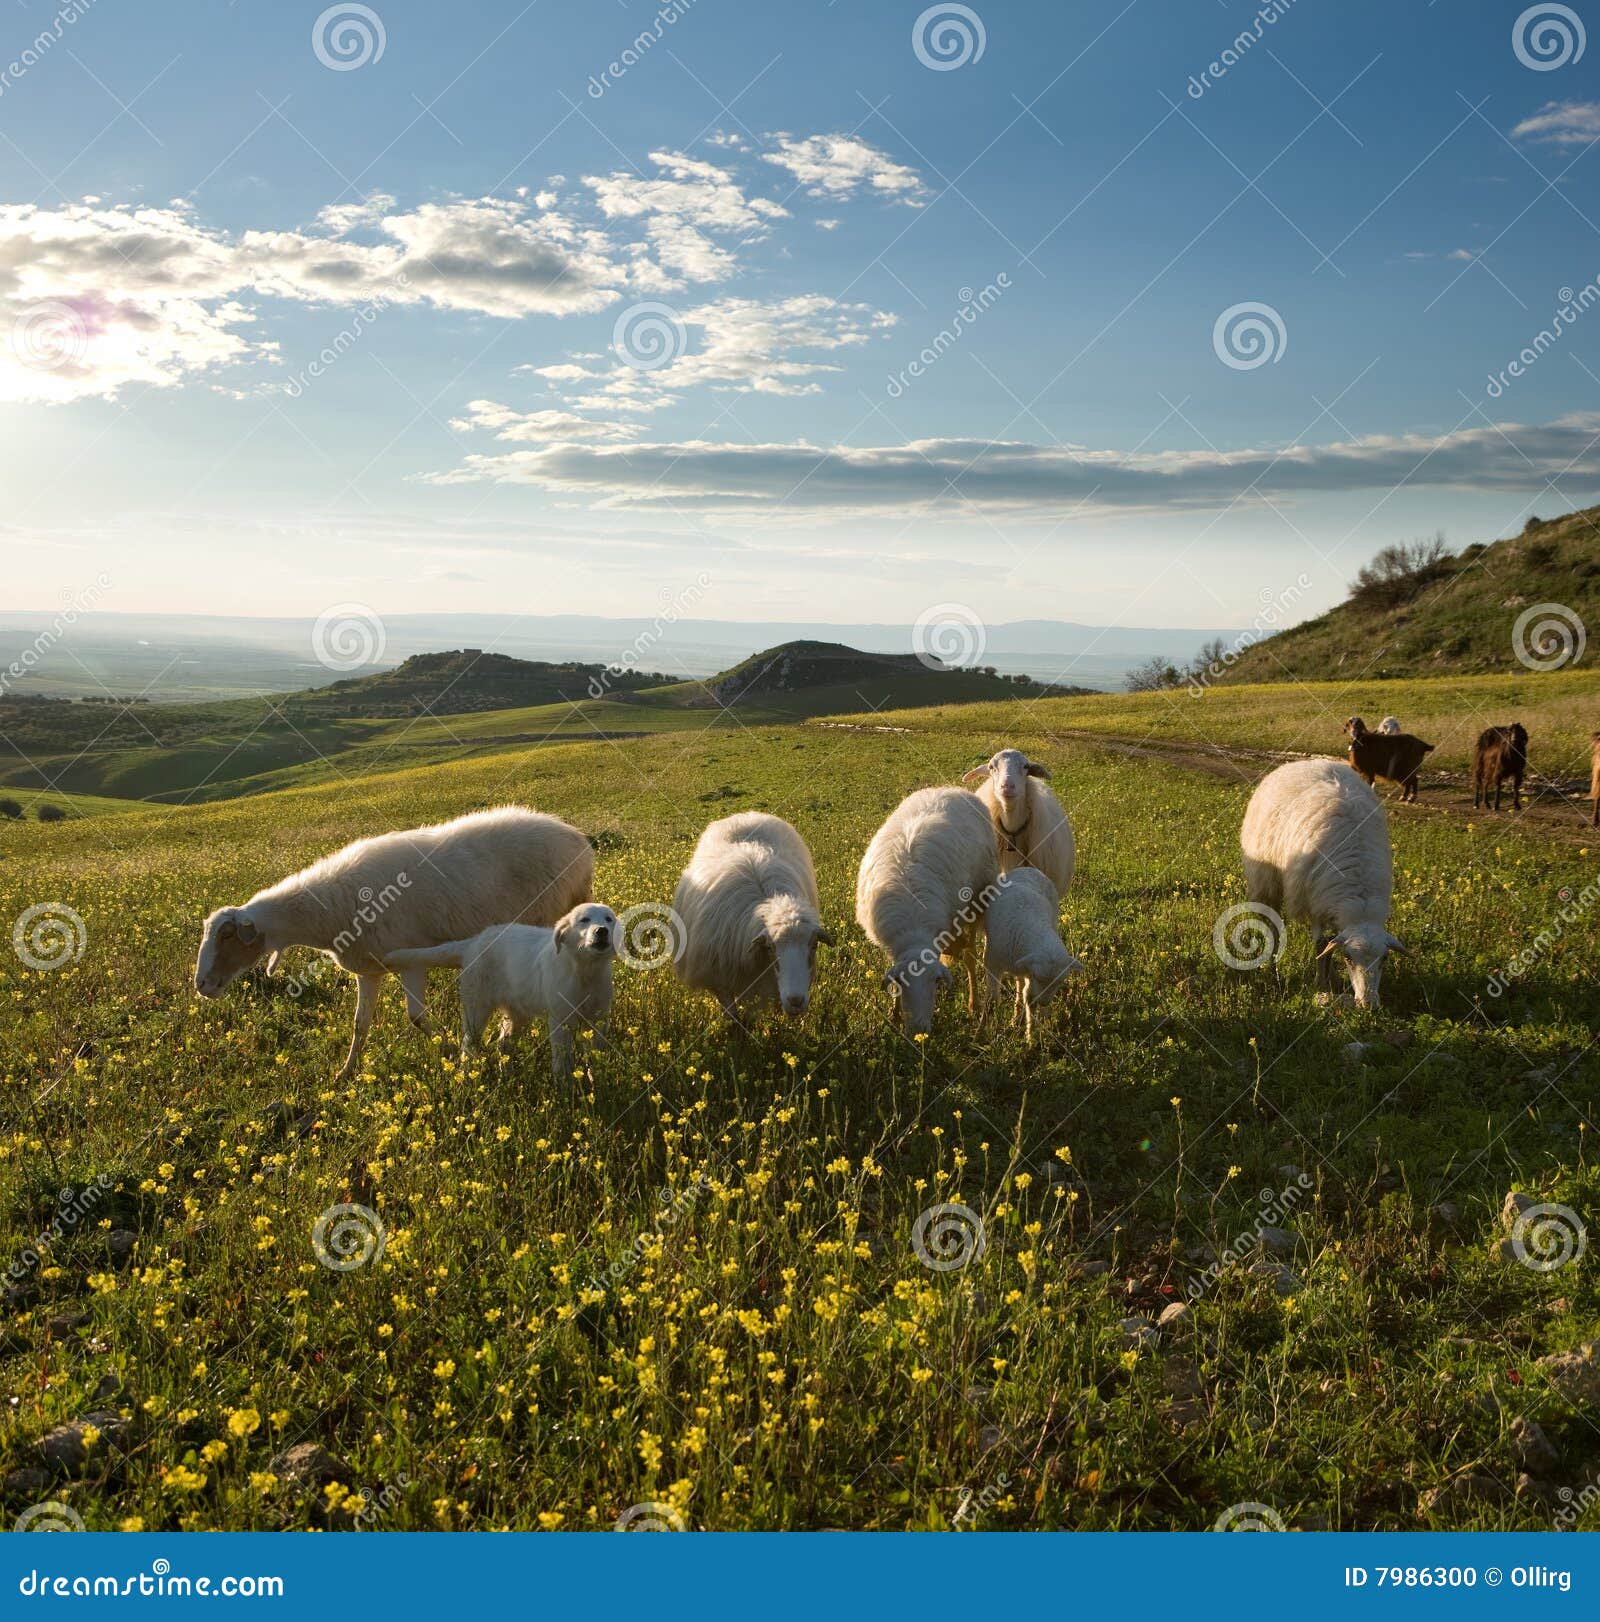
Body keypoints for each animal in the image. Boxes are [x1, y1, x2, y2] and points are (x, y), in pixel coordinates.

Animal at [194, 807, 594, 1080]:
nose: (201, 985)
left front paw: (448, 1046)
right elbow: (360, 1023)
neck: (328, 907)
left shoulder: (411, 961)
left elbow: (416, 1017)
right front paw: (346, 1072)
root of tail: (577, 839)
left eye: (227, 936)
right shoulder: (368, 970)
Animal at [671, 812, 833, 1019]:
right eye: (770, 947)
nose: (796, 1001)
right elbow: (734, 1019)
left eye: (814, 945)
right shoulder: (720, 980)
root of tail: (746, 814)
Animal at [856, 786, 999, 1036]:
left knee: (971, 952)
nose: (918, 1030)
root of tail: (952, 788)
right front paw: (895, 1016)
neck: (914, 926)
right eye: (900, 982)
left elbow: (964, 954)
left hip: (978, 897)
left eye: (935, 981)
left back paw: (974, 1003)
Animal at [980, 867, 1084, 1041]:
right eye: (1039, 977)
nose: (1044, 1002)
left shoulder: (1030, 972)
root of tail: (1029, 868)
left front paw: (1032, 1036)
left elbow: (1029, 999)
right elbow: (992, 1001)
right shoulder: (993, 965)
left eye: (1060, 982)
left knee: (1023, 989)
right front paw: (979, 1035)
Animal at [1240, 758, 1406, 1010]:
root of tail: (1305, 761)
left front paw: (1332, 979)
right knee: (1271, 921)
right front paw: (1320, 982)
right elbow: (1321, 943)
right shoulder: (1315, 902)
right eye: (1349, 958)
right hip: (1266, 878)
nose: (1368, 1004)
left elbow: (1331, 943)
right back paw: (1272, 966)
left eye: (1385, 958)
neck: (1360, 893)